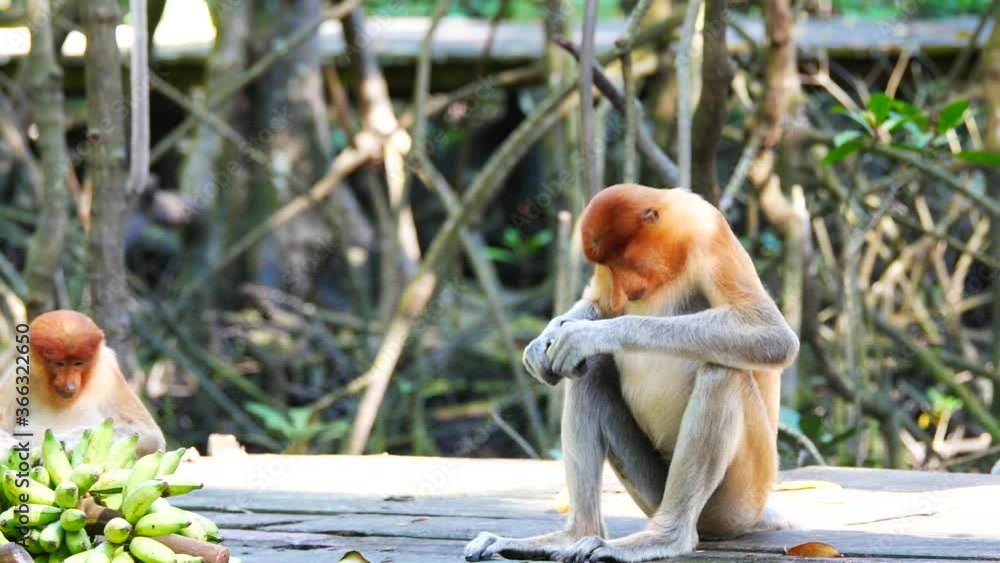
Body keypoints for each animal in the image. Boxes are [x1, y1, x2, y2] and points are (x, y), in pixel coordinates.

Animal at [0, 310, 166, 455]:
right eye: (59, 363)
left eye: (78, 363)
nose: (70, 385)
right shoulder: (19, 373)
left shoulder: (109, 371)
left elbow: (150, 434)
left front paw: (71, 440)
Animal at [465, 184, 799, 563]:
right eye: (605, 266)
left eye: (622, 260)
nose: (623, 291)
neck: (672, 250)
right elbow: (598, 304)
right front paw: (544, 343)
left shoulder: (707, 231)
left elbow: (772, 335)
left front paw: (589, 335)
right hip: (653, 488)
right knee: (589, 372)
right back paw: (572, 537)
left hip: (740, 499)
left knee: (722, 373)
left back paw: (663, 538)